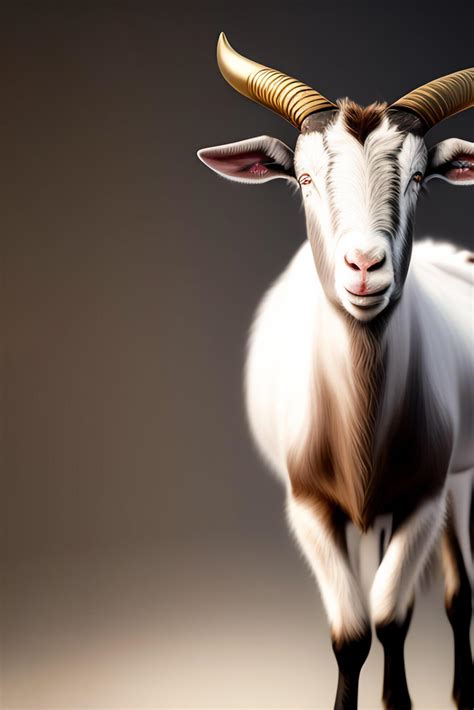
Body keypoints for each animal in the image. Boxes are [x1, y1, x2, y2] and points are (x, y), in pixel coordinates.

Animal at [198, 33, 474, 709]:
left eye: (419, 176)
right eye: (302, 177)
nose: (365, 267)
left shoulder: (424, 499)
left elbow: (391, 618)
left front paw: (399, 700)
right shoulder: (310, 506)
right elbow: (352, 633)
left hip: (458, 478)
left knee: (456, 594)